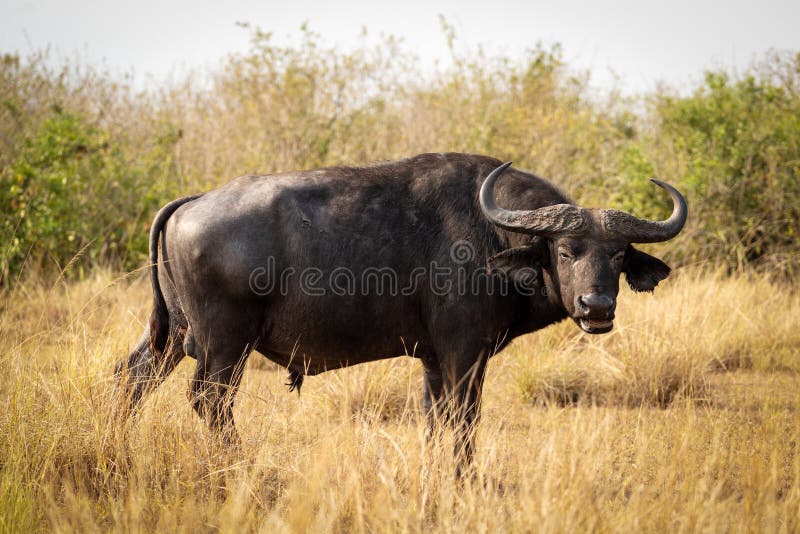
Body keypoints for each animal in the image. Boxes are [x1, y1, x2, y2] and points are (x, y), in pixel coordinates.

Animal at [116, 152, 686, 471]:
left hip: (173, 337)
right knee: (208, 401)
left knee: (131, 376)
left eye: (617, 255)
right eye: (566, 252)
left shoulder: (434, 361)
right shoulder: (465, 354)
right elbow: (464, 420)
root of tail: (194, 200)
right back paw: (237, 464)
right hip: (224, 345)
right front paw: (462, 480)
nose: (597, 306)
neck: (494, 236)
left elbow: (436, 420)